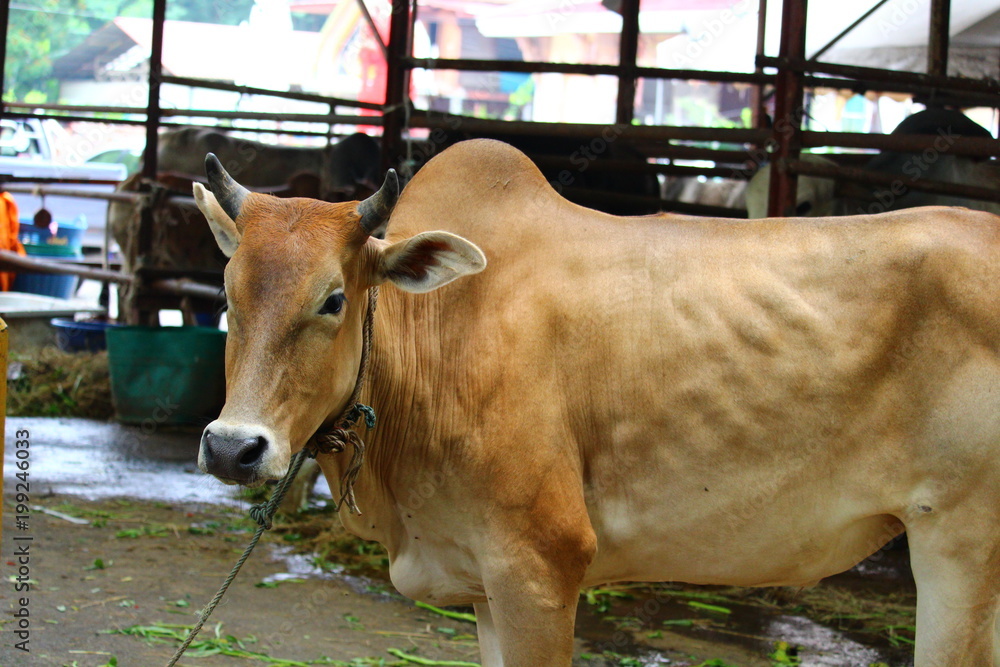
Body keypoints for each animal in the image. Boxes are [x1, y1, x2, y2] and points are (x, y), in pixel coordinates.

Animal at [193, 138, 1000, 667]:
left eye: (332, 299)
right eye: (228, 292)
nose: (233, 447)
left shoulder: (540, 569)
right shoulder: (487, 587)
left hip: (960, 551)